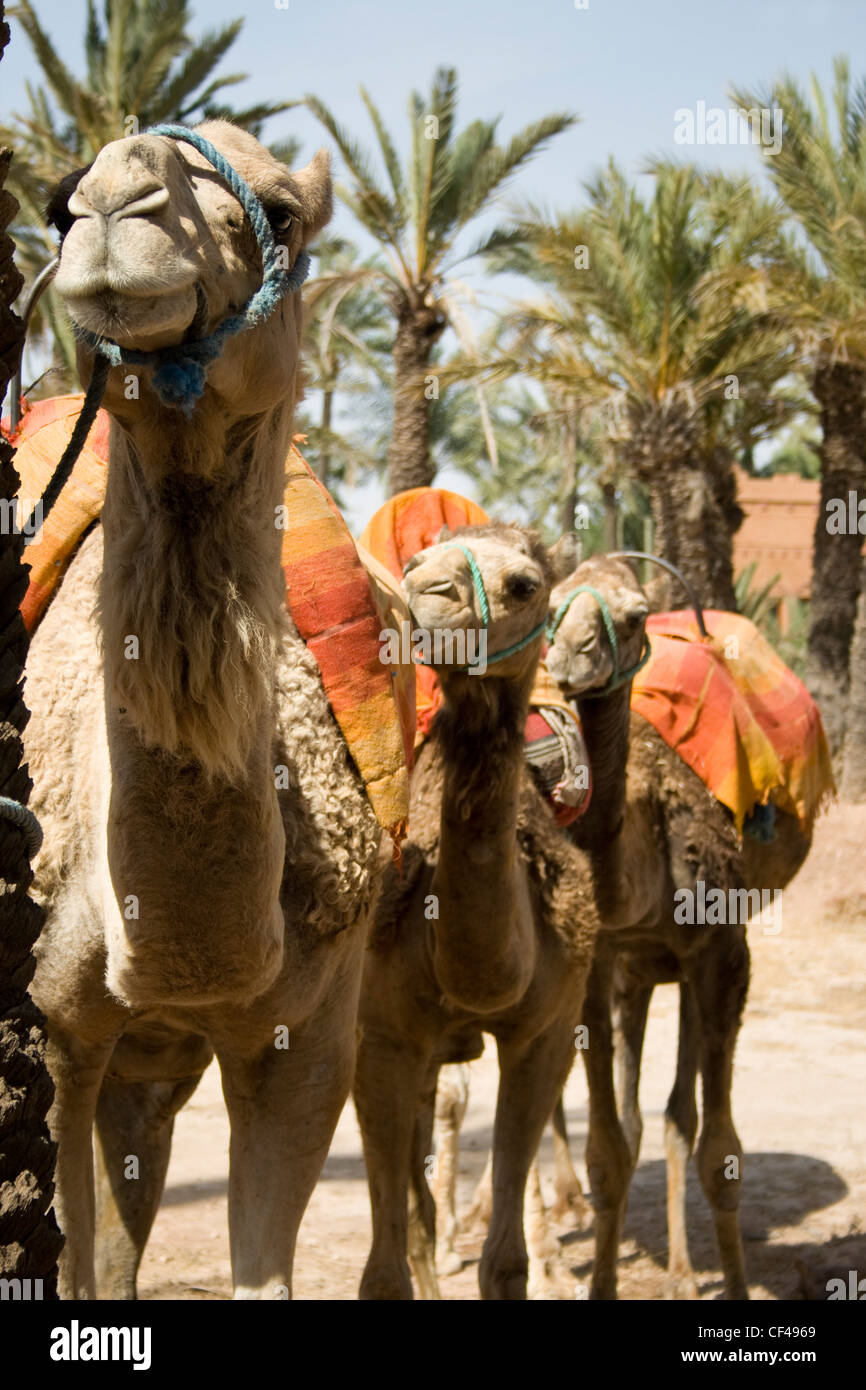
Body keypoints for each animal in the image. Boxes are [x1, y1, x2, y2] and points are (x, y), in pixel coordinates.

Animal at [353, 523, 599, 1299]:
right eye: (413, 560)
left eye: (524, 584)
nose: (427, 593)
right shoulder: (381, 1039)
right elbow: (383, 1272)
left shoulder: (544, 1035)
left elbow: (507, 1260)